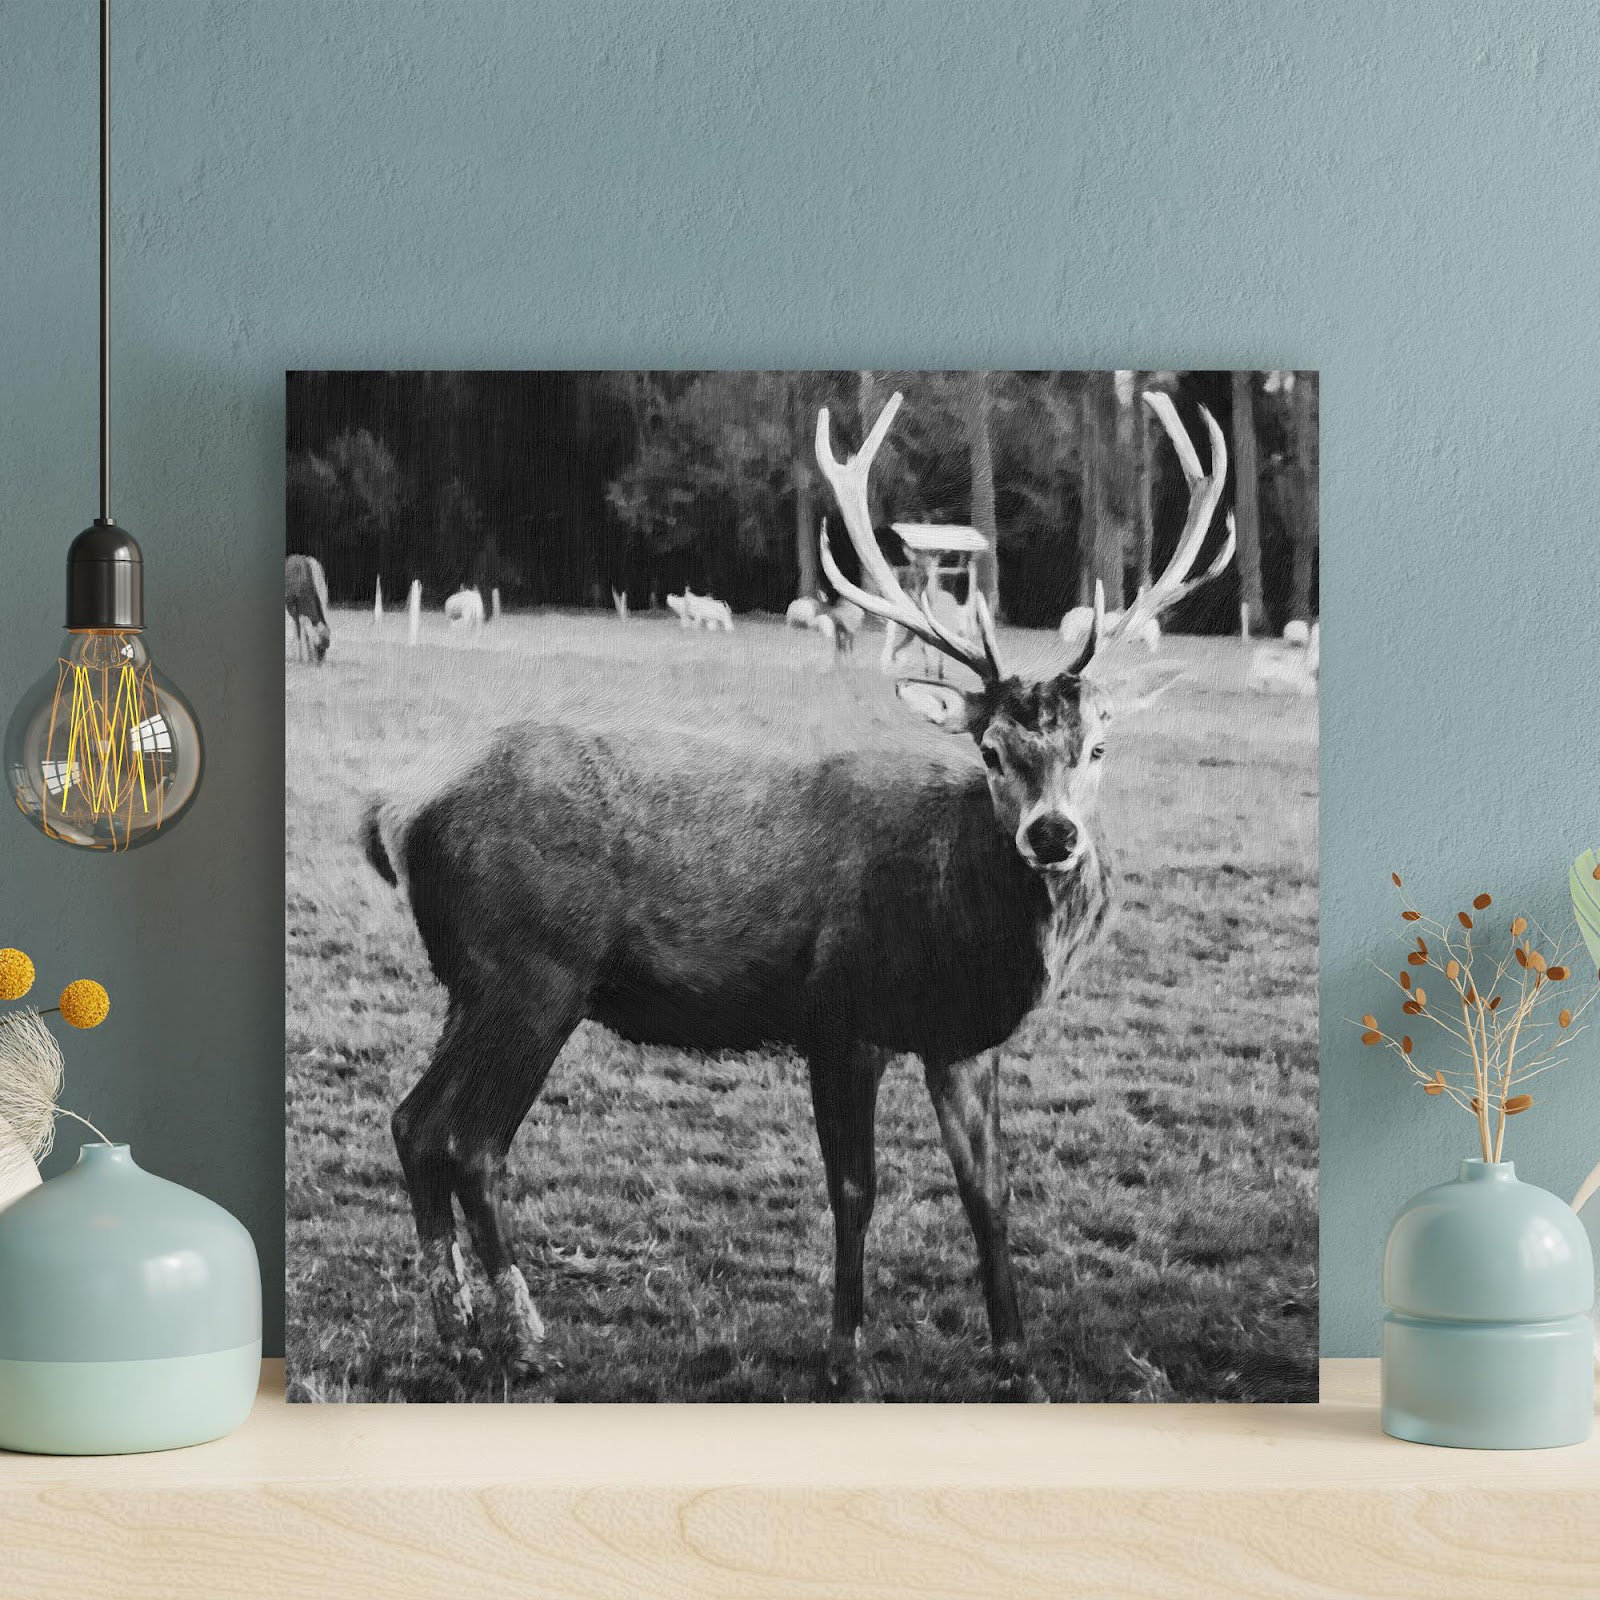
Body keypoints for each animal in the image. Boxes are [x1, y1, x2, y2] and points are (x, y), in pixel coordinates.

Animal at [360, 388, 1233, 1400]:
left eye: (1098, 746)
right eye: (990, 751)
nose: (1053, 835)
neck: (959, 936)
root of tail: (396, 810)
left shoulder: (962, 1042)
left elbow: (990, 1191)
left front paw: (1017, 1363)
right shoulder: (839, 1015)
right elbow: (854, 1189)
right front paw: (844, 1356)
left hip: (471, 984)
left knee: (413, 1123)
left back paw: (458, 1332)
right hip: (534, 973)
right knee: (471, 1142)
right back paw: (524, 1337)